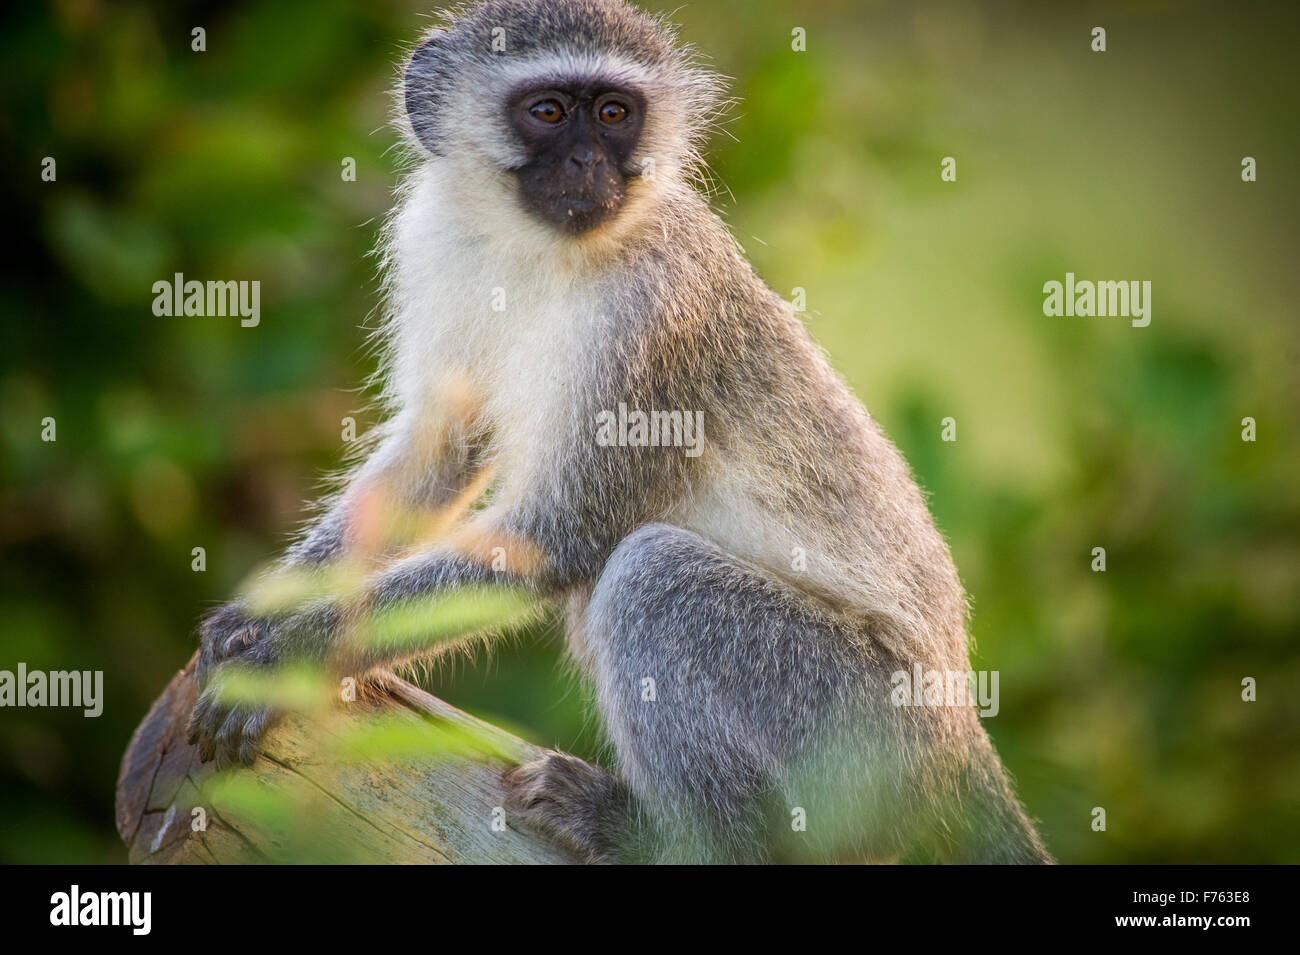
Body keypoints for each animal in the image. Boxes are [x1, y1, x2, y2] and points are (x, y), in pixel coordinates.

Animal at [187, 0, 1052, 864]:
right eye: (546, 112)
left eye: (613, 114)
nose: (586, 165)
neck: (536, 252)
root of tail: (959, 737)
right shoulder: (435, 244)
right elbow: (441, 447)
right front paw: (262, 610)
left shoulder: (652, 319)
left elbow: (555, 538)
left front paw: (286, 655)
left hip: (854, 729)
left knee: (650, 575)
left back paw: (658, 838)